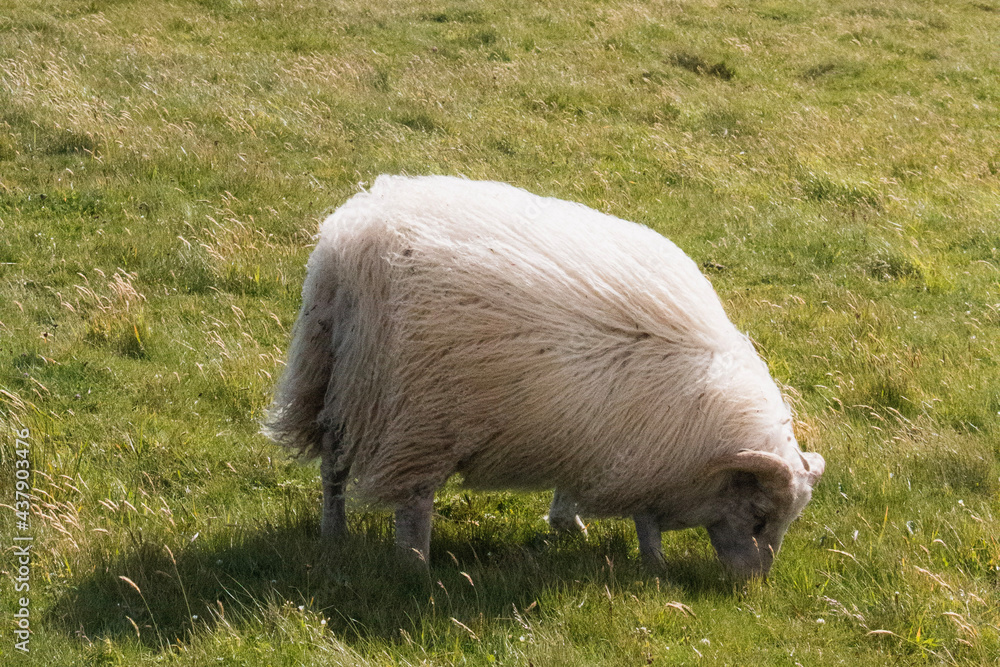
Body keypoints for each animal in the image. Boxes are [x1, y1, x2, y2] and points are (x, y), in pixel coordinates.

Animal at [264, 175, 825, 579]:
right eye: (760, 516)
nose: (752, 584)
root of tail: (349, 246)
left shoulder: (592, 436)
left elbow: (574, 486)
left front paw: (566, 522)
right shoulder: (643, 457)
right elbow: (645, 518)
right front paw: (654, 565)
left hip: (335, 382)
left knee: (332, 467)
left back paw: (334, 535)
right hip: (418, 416)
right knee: (412, 502)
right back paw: (415, 566)